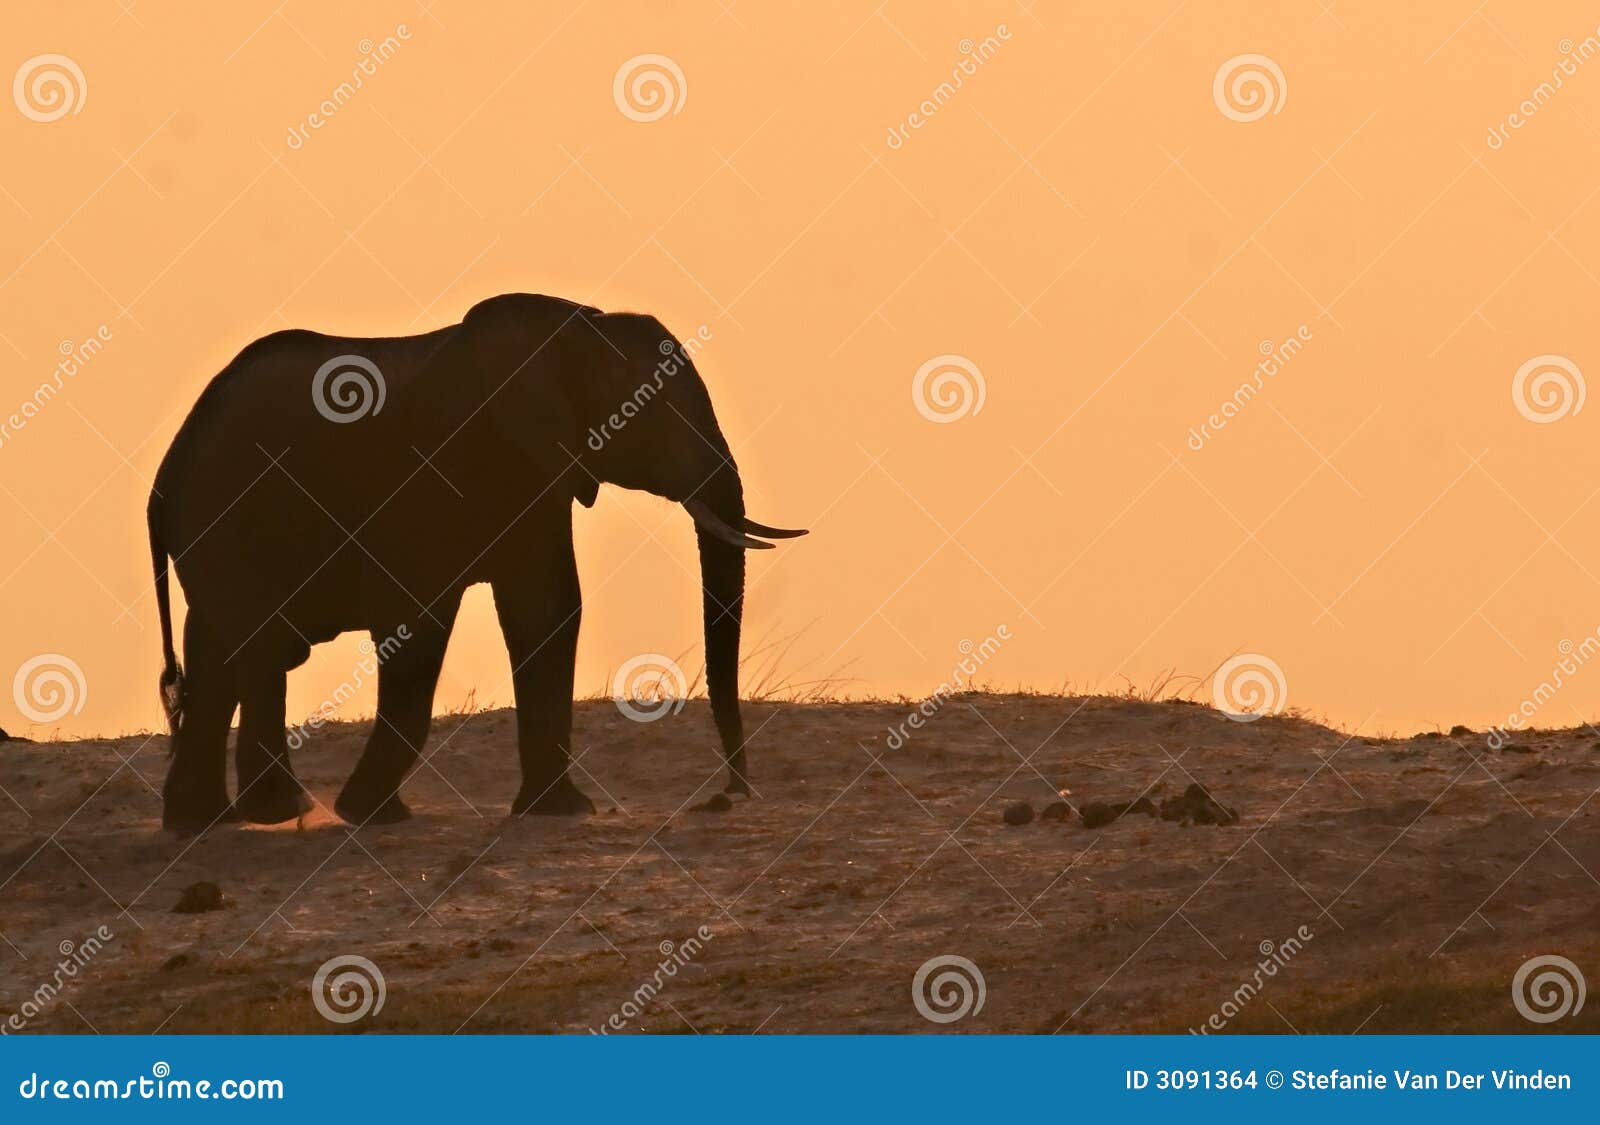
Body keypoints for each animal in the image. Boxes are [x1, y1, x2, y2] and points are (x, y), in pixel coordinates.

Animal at [148, 292, 805, 834]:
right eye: (658, 412)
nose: (732, 793)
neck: (576, 330)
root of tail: (165, 473)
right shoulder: (435, 474)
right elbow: (419, 625)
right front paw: (374, 816)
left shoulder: (539, 475)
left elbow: (548, 608)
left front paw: (560, 811)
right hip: (233, 517)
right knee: (256, 644)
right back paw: (279, 811)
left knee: (217, 651)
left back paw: (203, 822)